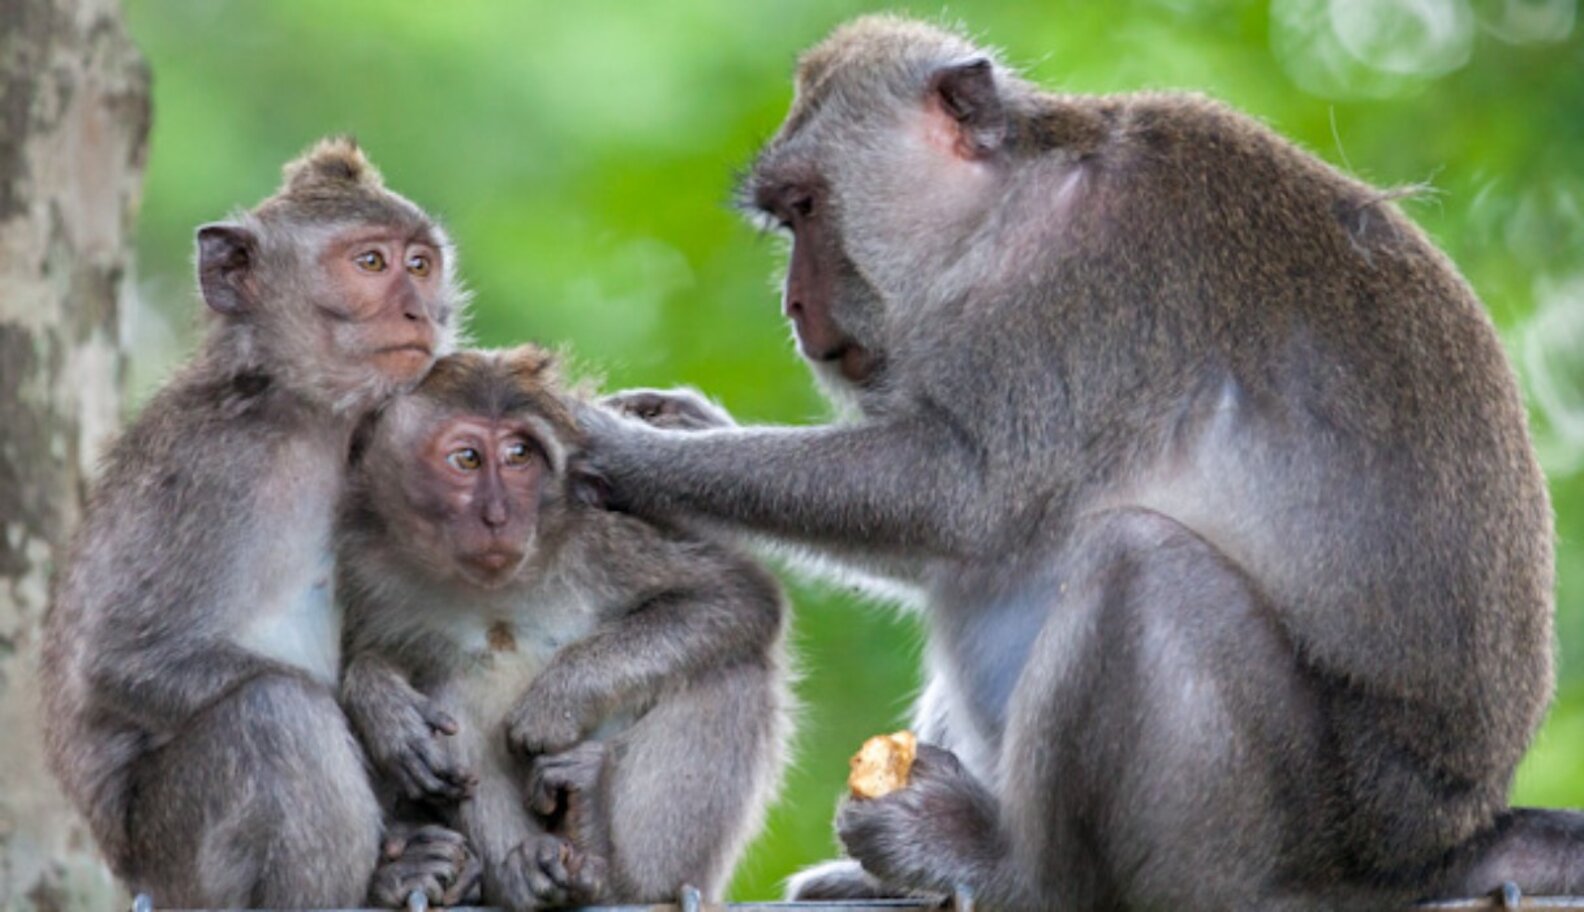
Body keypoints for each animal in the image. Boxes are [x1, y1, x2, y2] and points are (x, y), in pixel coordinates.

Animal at [40, 137, 478, 908]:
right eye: (372, 263)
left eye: (421, 264)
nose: (422, 313)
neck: (309, 414)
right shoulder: (213, 471)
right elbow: (123, 659)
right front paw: (375, 706)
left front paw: (378, 684)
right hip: (181, 865)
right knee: (273, 711)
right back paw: (384, 878)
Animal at [336, 345, 791, 911]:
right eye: (467, 459)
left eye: (519, 455)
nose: (499, 514)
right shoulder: (363, 563)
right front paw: (384, 708)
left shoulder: (596, 540)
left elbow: (733, 595)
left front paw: (559, 699)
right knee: (452, 689)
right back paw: (525, 872)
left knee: (732, 667)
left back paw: (609, 858)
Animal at [581, 15, 1578, 910]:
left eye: (808, 208)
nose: (793, 304)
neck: (1007, 209)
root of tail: (1445, 845)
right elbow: (954, 540)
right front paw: (686, 422)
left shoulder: (1075, 295)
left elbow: (958, 500)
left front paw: (624, 451)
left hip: (1298, 828)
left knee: (1137, 566)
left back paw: (1005, 869)